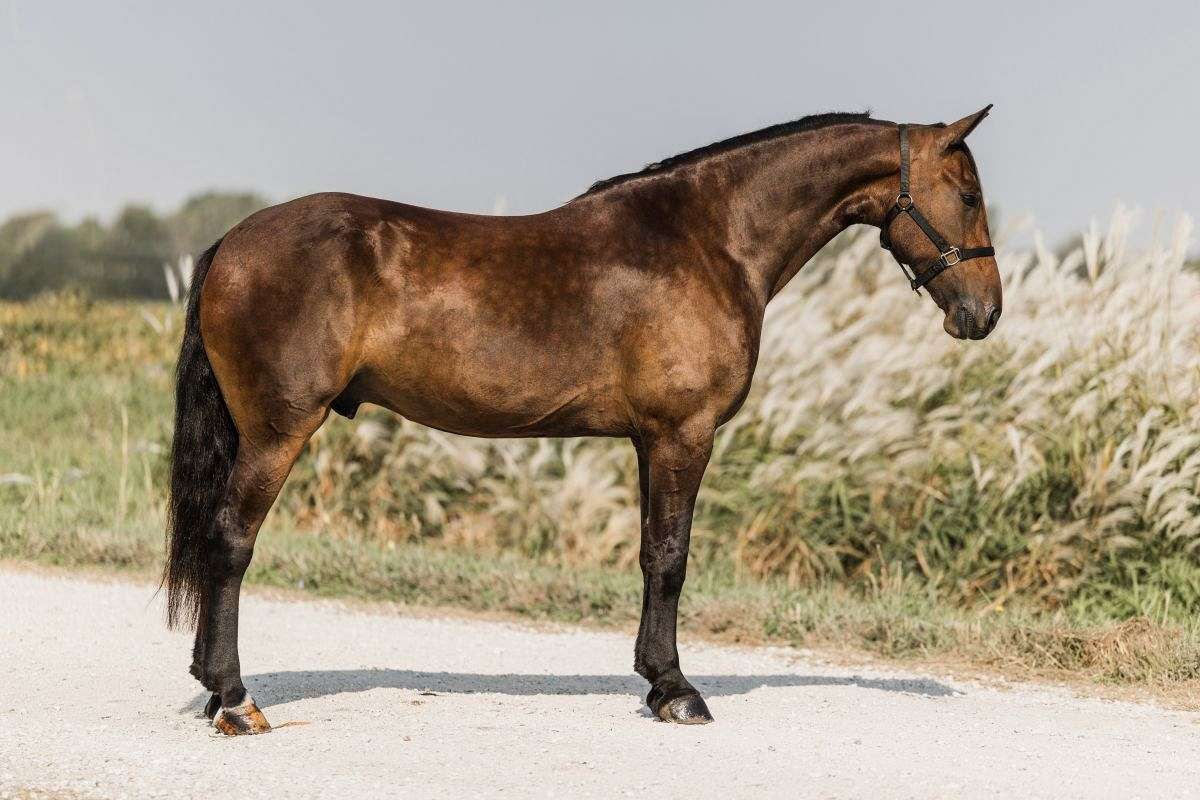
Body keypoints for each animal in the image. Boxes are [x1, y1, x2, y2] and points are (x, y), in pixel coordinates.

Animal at [164, 107, 1002, 734]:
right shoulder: (683, 433)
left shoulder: (647, 441)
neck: (709, 238)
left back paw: (213, 687)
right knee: (230, 541)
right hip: (278, 432)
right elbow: (671, 558)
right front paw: (677, 691)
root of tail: (233, 243)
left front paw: (655, 680)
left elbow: (650, 555)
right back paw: (234, 699)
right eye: (966, 195)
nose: (984, 312)